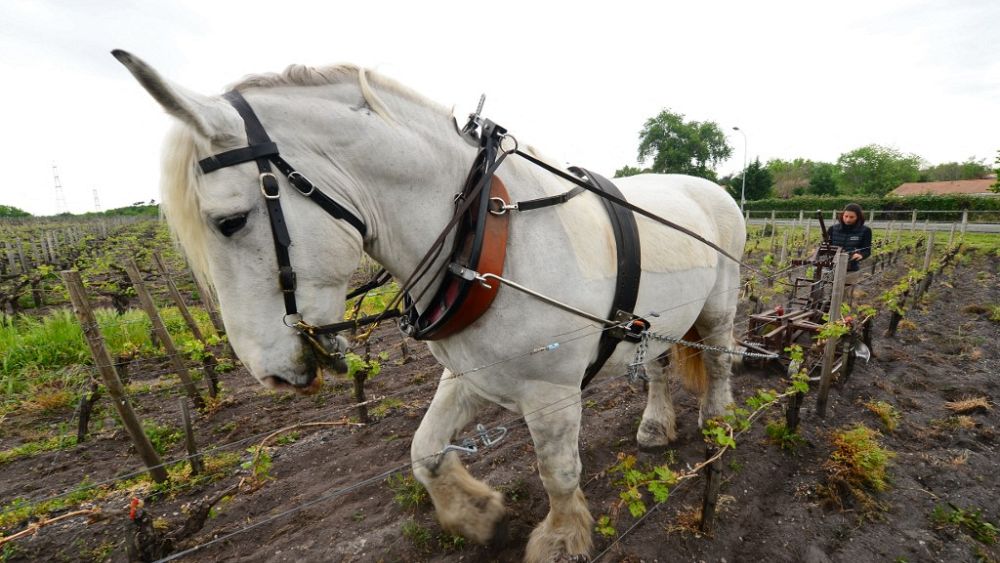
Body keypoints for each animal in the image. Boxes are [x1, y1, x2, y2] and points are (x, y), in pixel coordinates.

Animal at [113, 50, 746, 562]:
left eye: (229, 221)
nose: (267, 373)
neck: (488, 238)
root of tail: (708, 186)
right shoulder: (467, 375)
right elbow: (424, 453)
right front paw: (479, 515)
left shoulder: (552, 391)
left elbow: (558, 472)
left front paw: (562, 540)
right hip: (656, 325)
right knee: (658, 366)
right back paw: (656, 426)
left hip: (719, 305)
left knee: (718, 358)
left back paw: (718, 424)